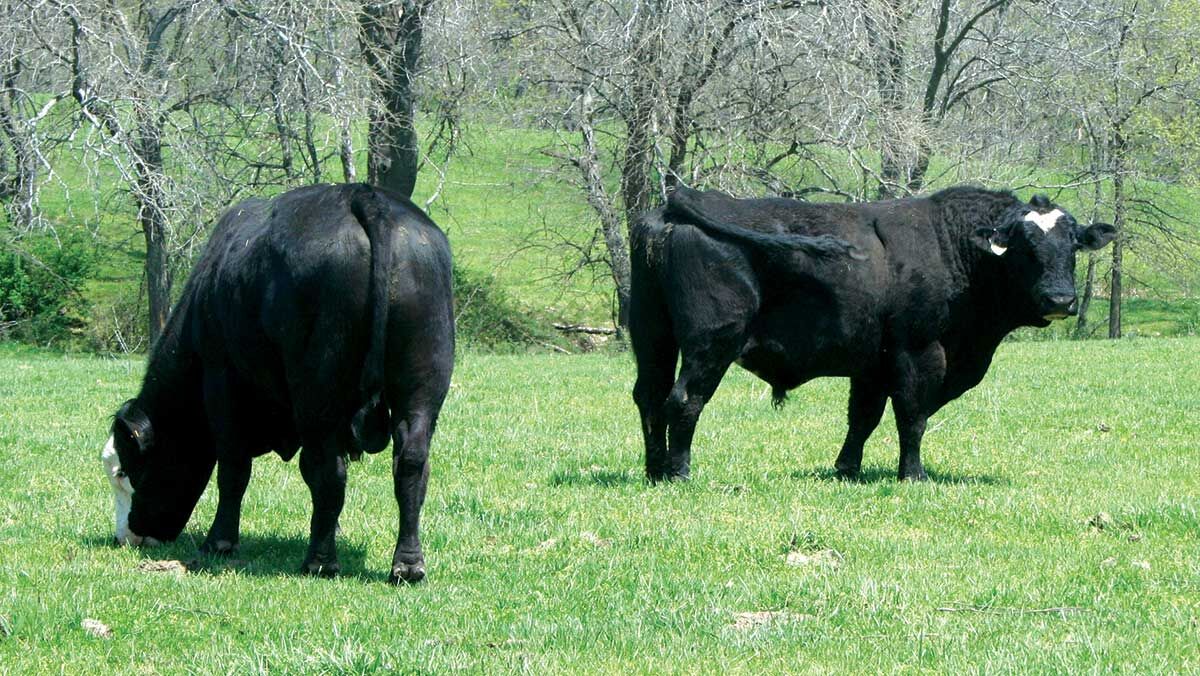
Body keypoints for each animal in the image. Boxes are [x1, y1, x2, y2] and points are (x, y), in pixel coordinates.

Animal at [100, 183, 454, 583]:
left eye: (123, 472)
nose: (125, 536)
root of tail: (362, 194)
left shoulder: (222, 382)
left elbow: (233, 469)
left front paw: (219, 542)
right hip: (421, 386)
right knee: (410, 463)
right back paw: (407, 564)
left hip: (318, 394)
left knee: (328, 470)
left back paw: (320, 561)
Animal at [629, 185, 1115, 482]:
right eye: (1024, 246)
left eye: (1072, 244)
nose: (1059, 299)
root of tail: (681, 201)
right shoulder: (918, 352)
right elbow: (912, 417)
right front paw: (913, 475)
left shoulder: (872, 364)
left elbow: (863, 418)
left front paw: (846, 469)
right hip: (712, 341)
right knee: (684, 399)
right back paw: (680, 472)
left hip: (652, 336)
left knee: (649, 397)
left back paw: (655, 470)